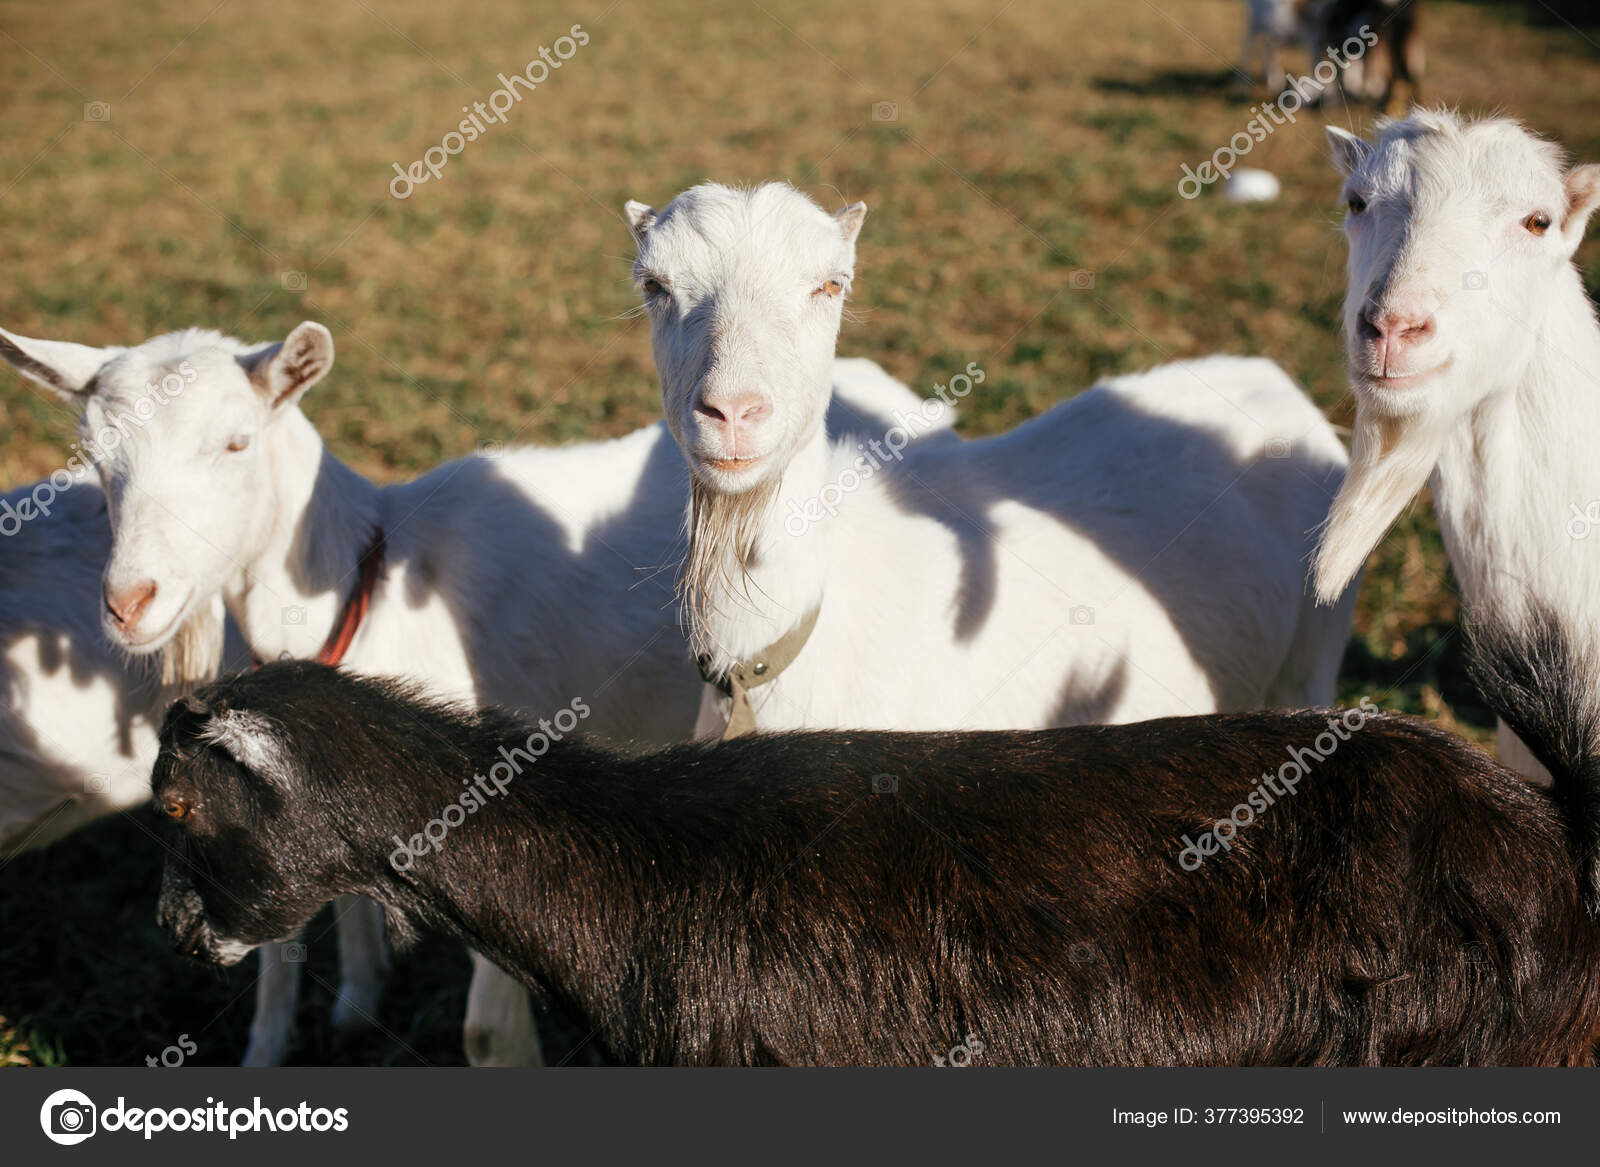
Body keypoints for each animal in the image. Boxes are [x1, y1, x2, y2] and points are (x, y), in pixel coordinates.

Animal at [0, 320, 945, 1067]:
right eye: (96, 461)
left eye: (236, 442)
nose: (130, 602)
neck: (367, 583)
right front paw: (309, 1028)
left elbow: (488, 1023)